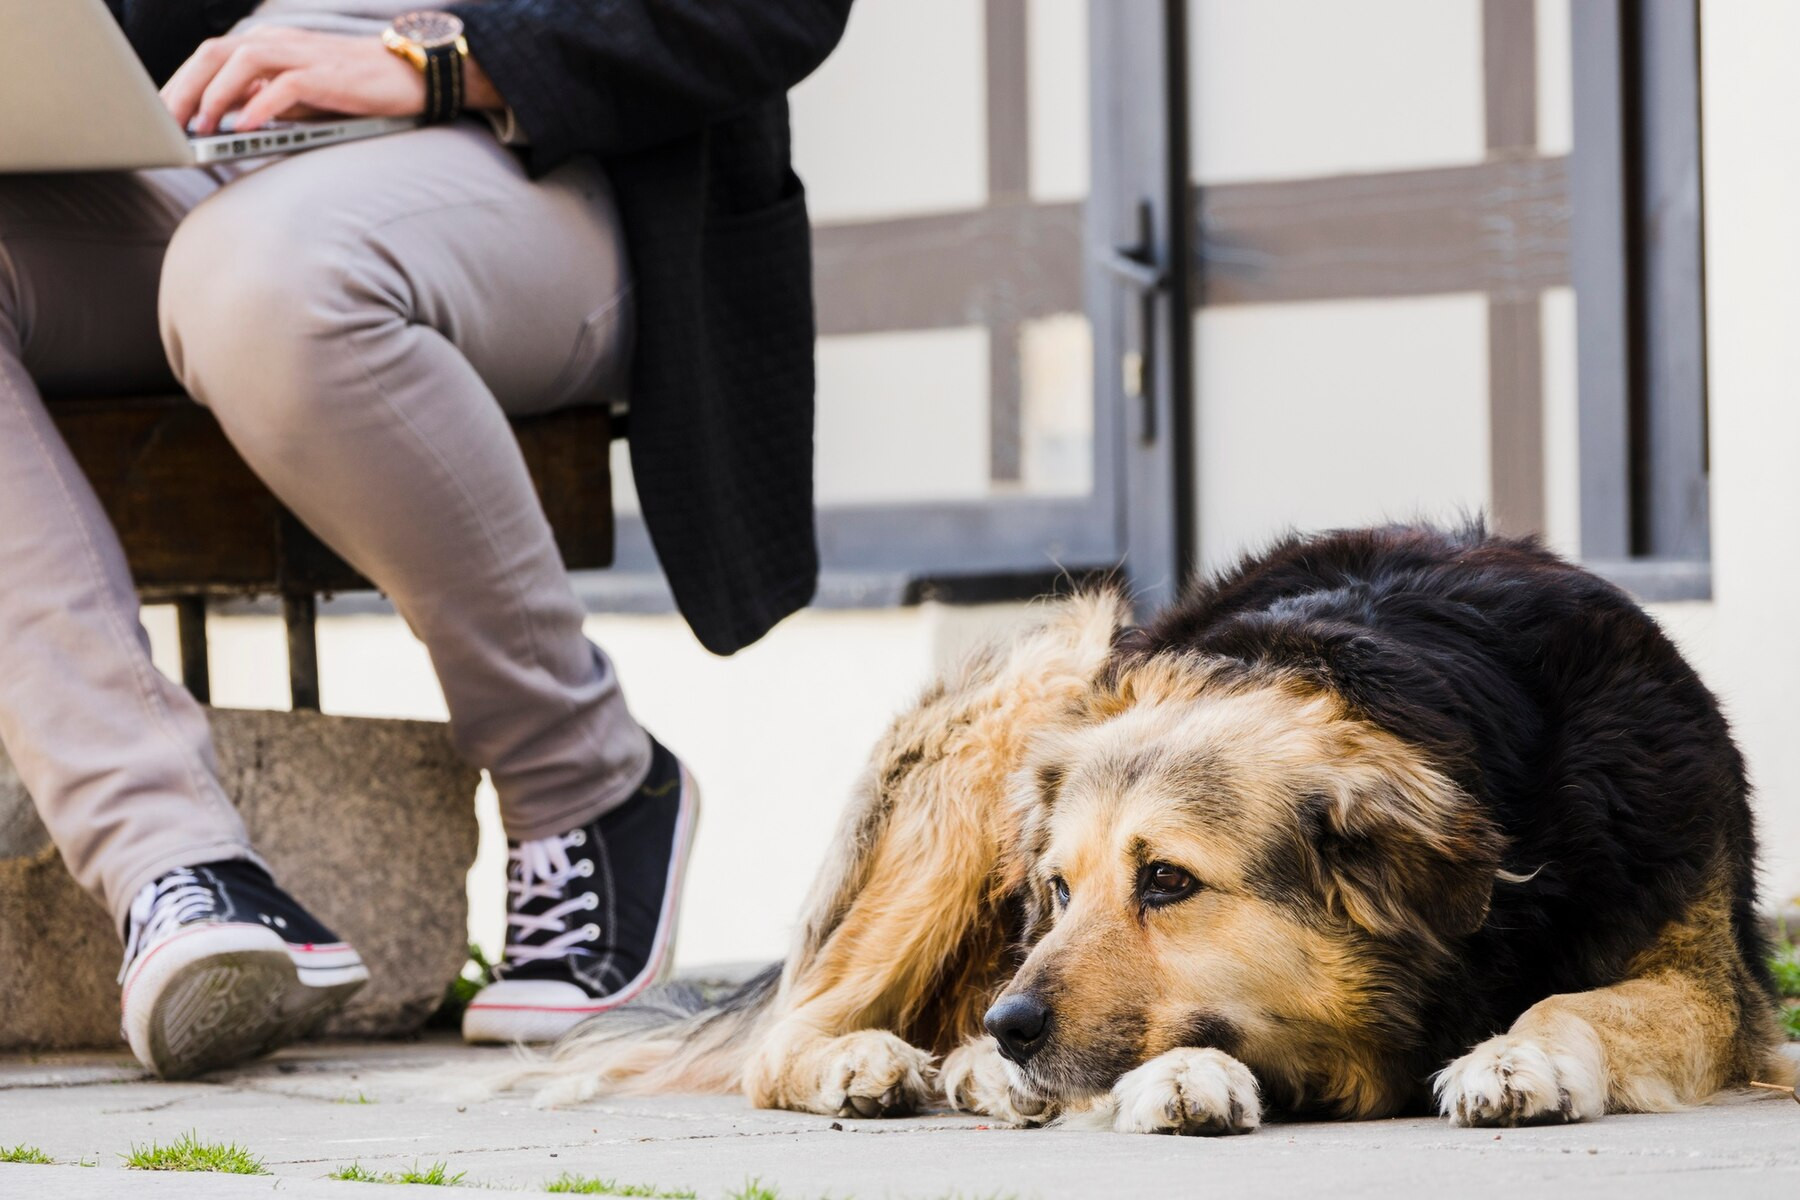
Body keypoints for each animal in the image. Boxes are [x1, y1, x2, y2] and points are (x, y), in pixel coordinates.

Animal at [504, 525, 1785, 1137]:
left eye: (1168, 881)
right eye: (1061, 890)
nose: (1011, 1025)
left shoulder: (1705, 977)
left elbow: (1576, 1003)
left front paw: (1516, 1054)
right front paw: (1177, 1076)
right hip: (1029, 693)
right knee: (789, 1034)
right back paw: (892, 1063)